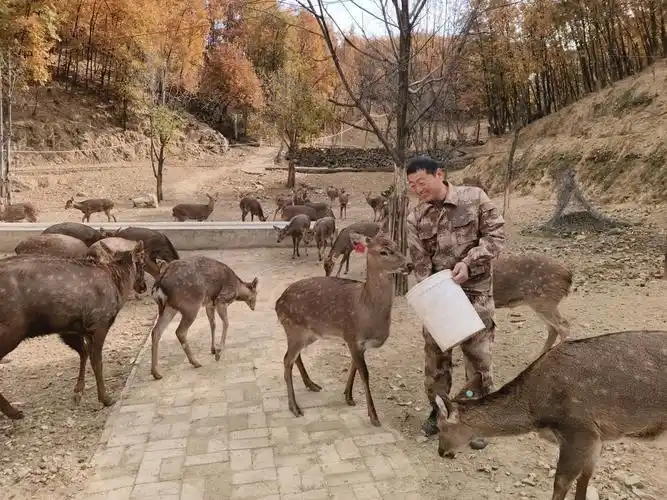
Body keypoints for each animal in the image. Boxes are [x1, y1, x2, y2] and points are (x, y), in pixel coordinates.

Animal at [0, 241, 146, 419]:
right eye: (142, 262)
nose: (143, 286)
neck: (118, 286)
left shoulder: (72, 328)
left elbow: (83, 352)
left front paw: (78, 392)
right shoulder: (100, 322)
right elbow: (96, 361)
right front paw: (105, 398)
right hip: (10, 329)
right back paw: (13, 411)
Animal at [275, 231, 413, 426]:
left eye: (397, 245)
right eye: (384, 251)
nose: (409, 264)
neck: (365, 310)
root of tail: (277, 303)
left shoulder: (358, 343)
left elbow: (354, 366)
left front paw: (348, 396)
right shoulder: (352, 336)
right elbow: (365, 373)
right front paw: (374, 416)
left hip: (308, 333)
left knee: (295, 357)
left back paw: (311, 384)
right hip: (294, 327)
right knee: (287, 359)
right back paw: (294, 407)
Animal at [433, 329, 667, 500]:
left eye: (441, 427)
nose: (441, 452)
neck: (537, 411)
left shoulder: (579, 429)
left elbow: (560, 483)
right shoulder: (597, 437)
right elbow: (586, 477)